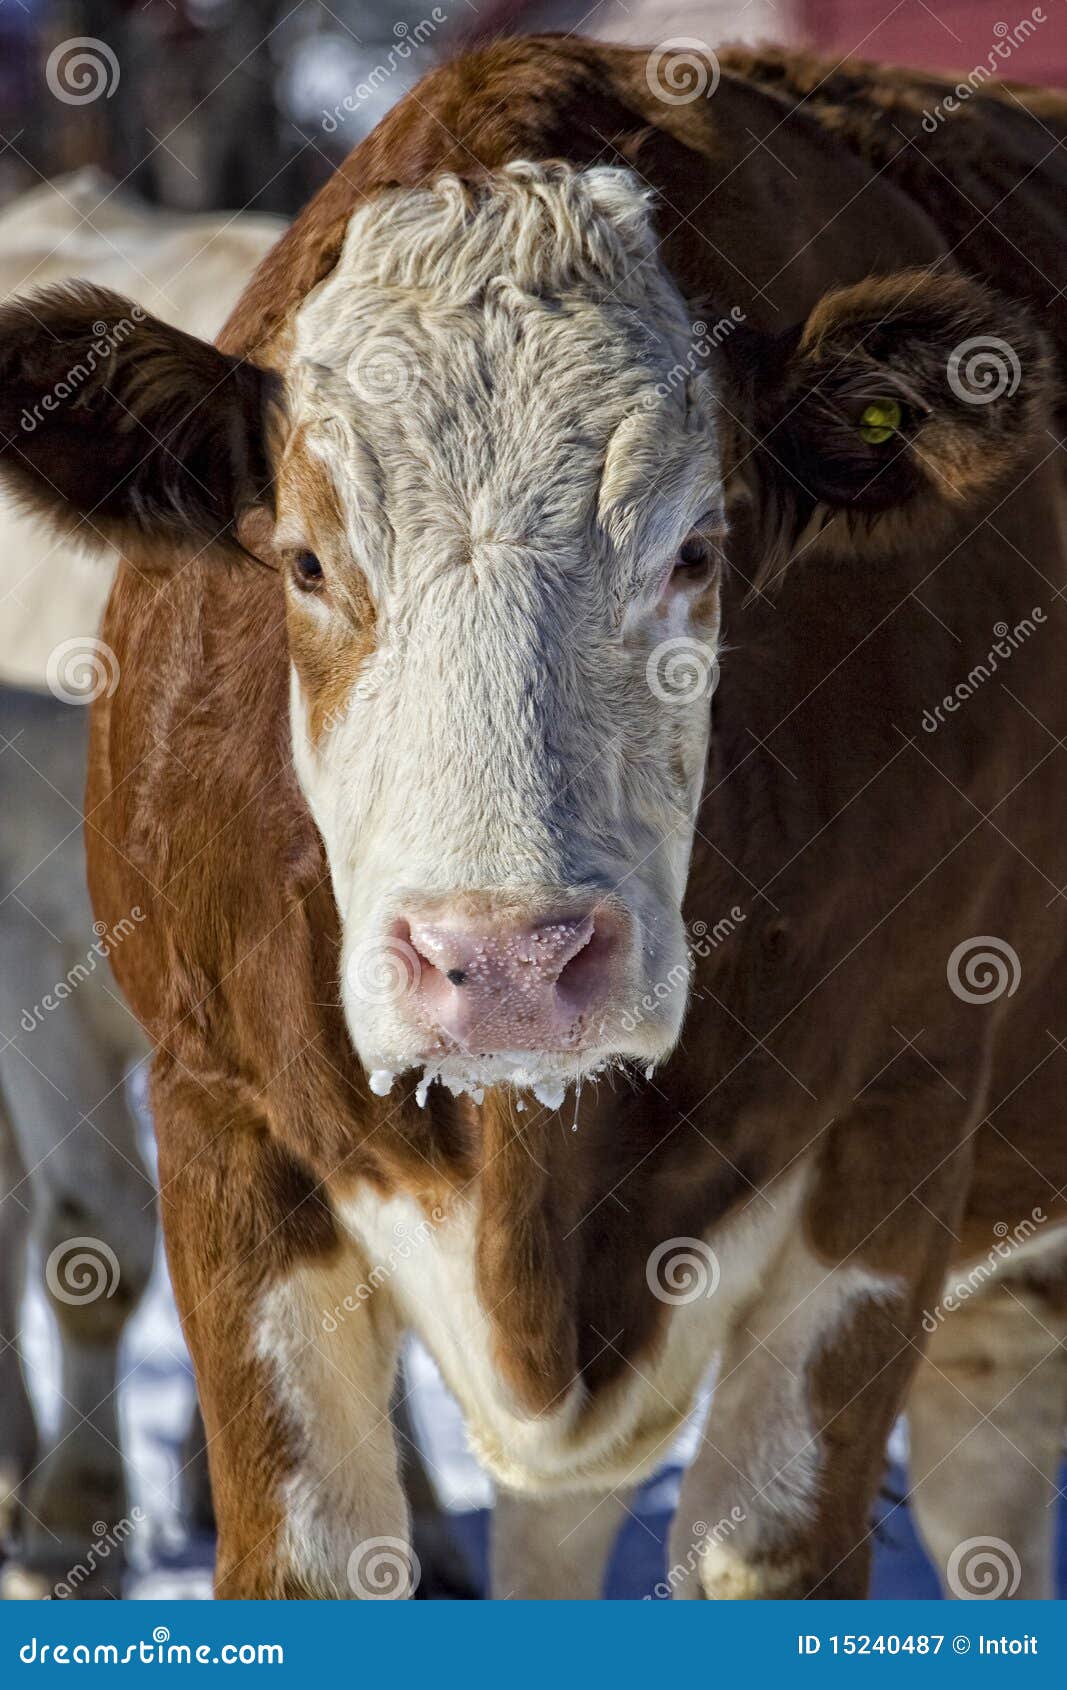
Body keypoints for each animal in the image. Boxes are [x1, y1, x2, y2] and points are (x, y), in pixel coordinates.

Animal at [2, 36, 1067, 1601]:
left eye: (696, 552)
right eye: (305, 560)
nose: (501, 959)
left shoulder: (904, 1107)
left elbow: (762, 1544)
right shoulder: (212, 1100)